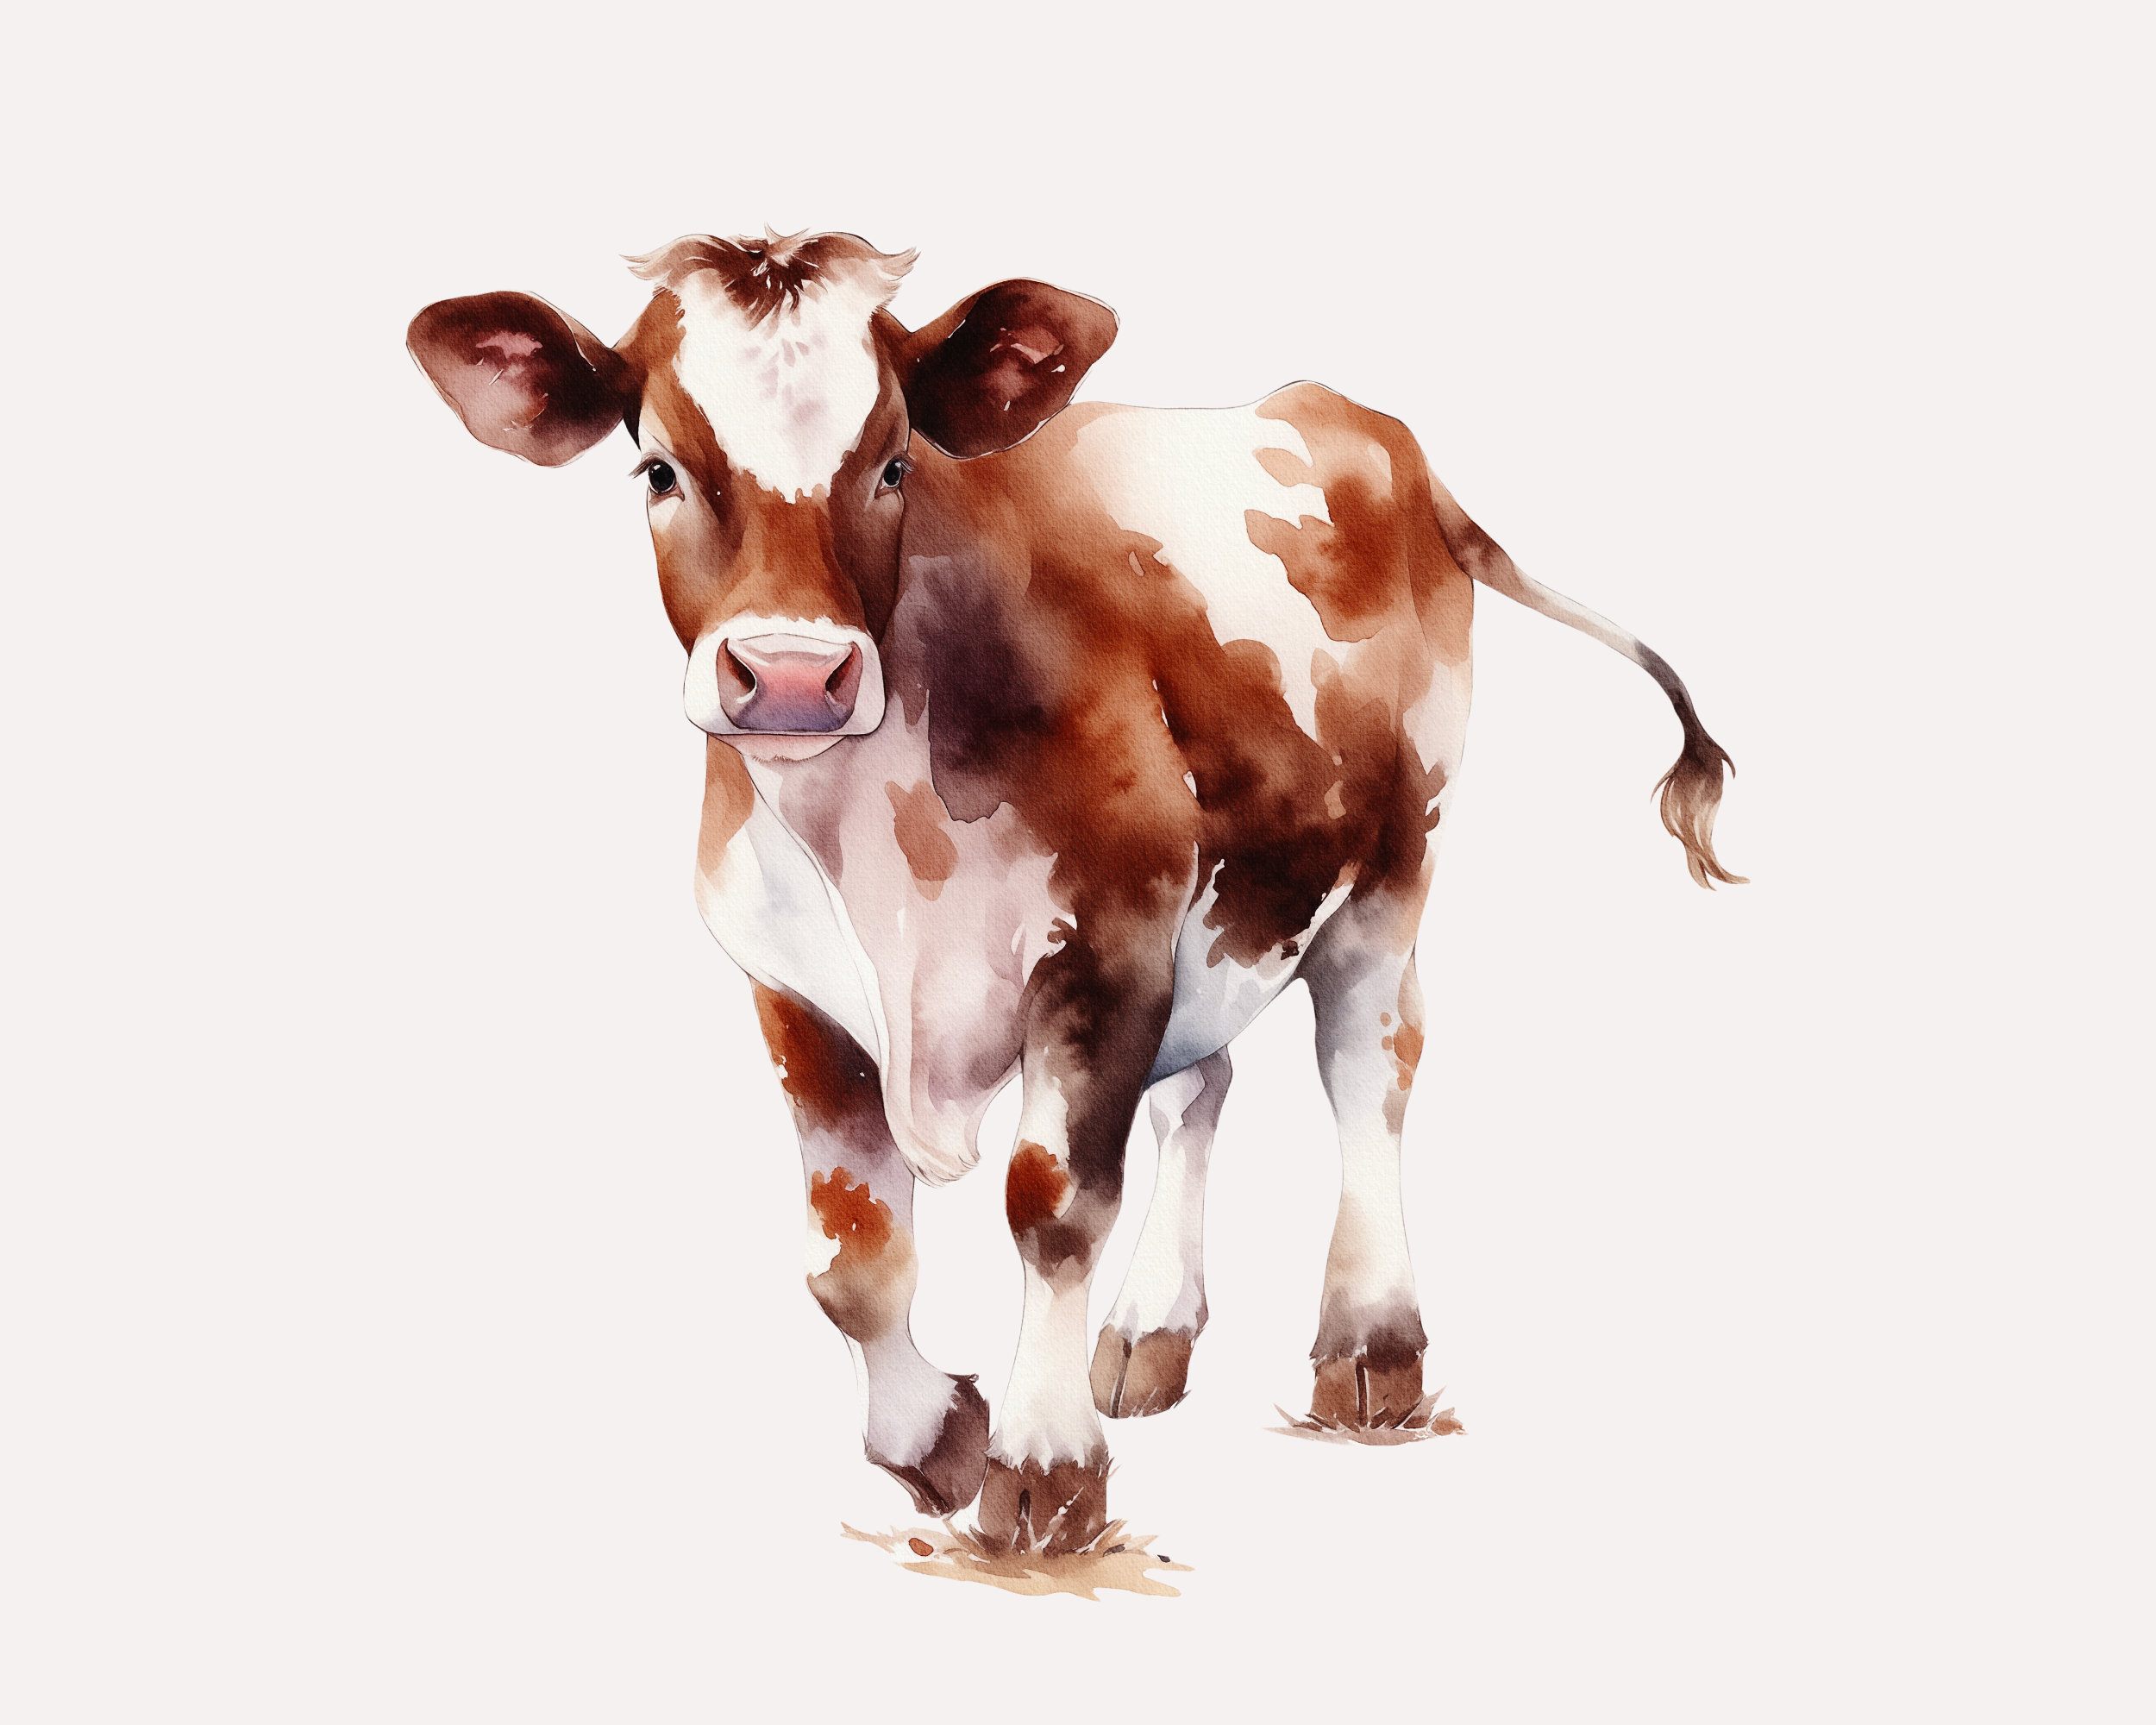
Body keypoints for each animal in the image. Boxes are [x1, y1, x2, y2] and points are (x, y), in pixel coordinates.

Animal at [406, 229, 1741, 1555]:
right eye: (657, 470)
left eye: (894, 463)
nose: (789, 675)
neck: (882, 854)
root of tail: (1358, 422)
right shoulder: (794, 989)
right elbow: (848, 1256)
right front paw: (935, 1440)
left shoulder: (1107, 943)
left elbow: (1050, 1207)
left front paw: (1041, 1466)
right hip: (1221, 917)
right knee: (1199, 1090)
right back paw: (1151, 1330)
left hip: (1394, 857)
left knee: (1369, 1069)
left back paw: (1371, 1348)